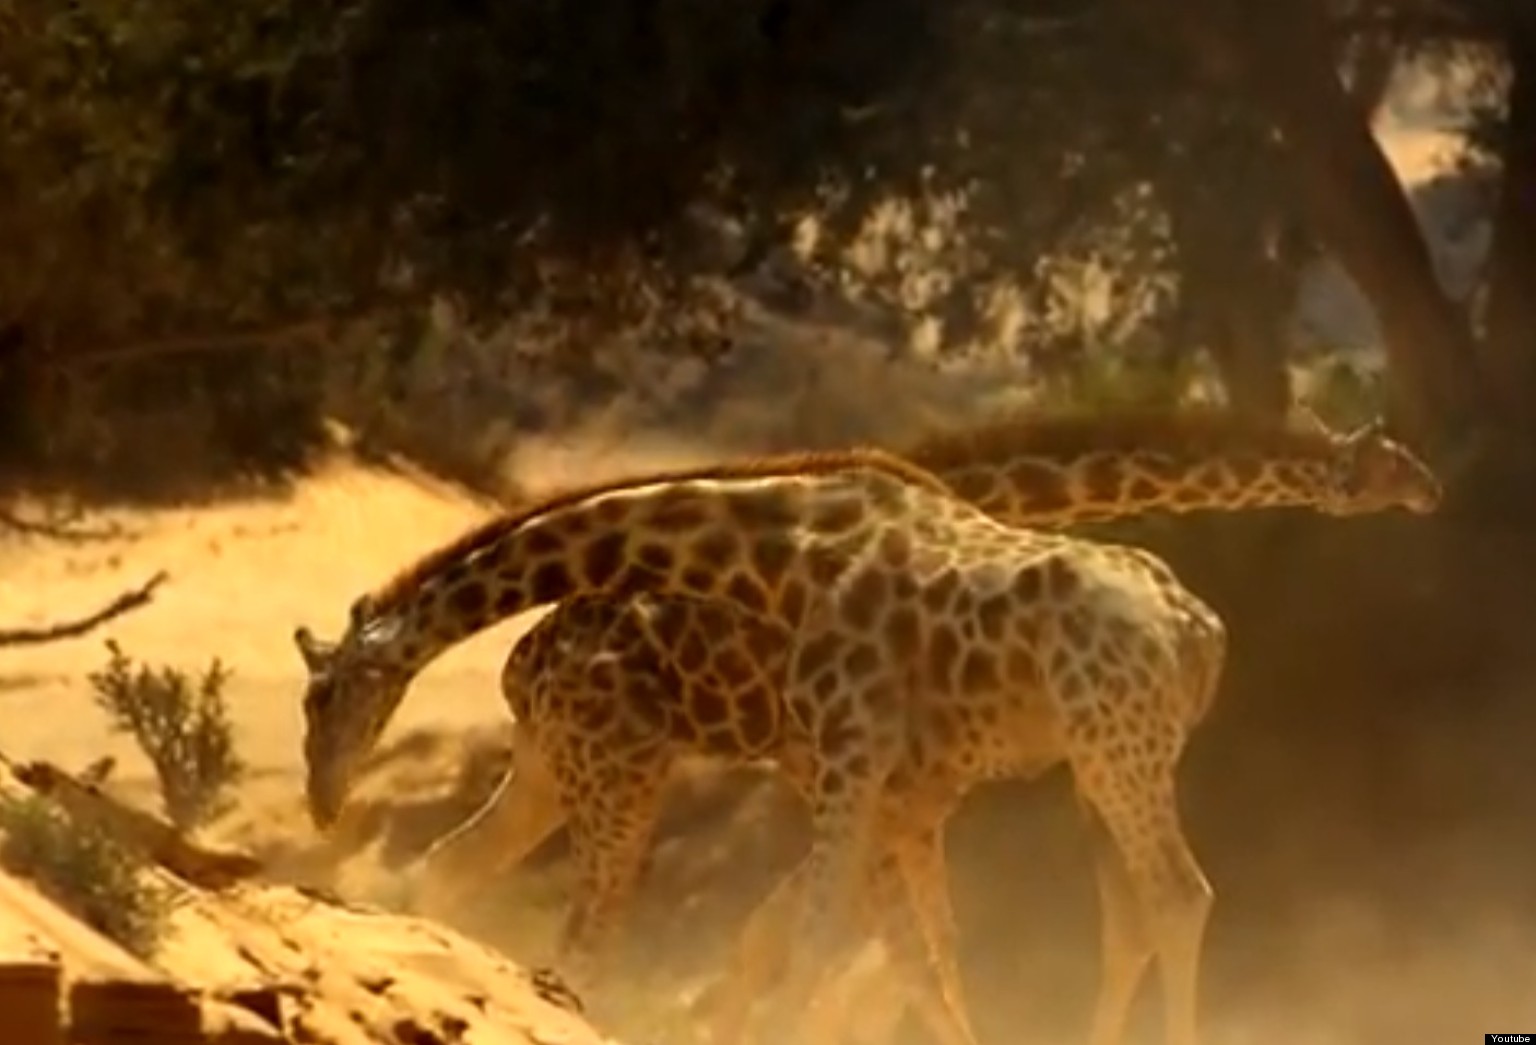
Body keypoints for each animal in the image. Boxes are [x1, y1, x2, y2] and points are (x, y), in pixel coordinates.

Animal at [292, 412, 1441, 1045]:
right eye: (315, 702)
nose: (1430, 483)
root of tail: (531, 663)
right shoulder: (855, 773)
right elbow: (866, 942)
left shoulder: (885, 781)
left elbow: (871, 943)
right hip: (613, 775)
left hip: (574, 772)